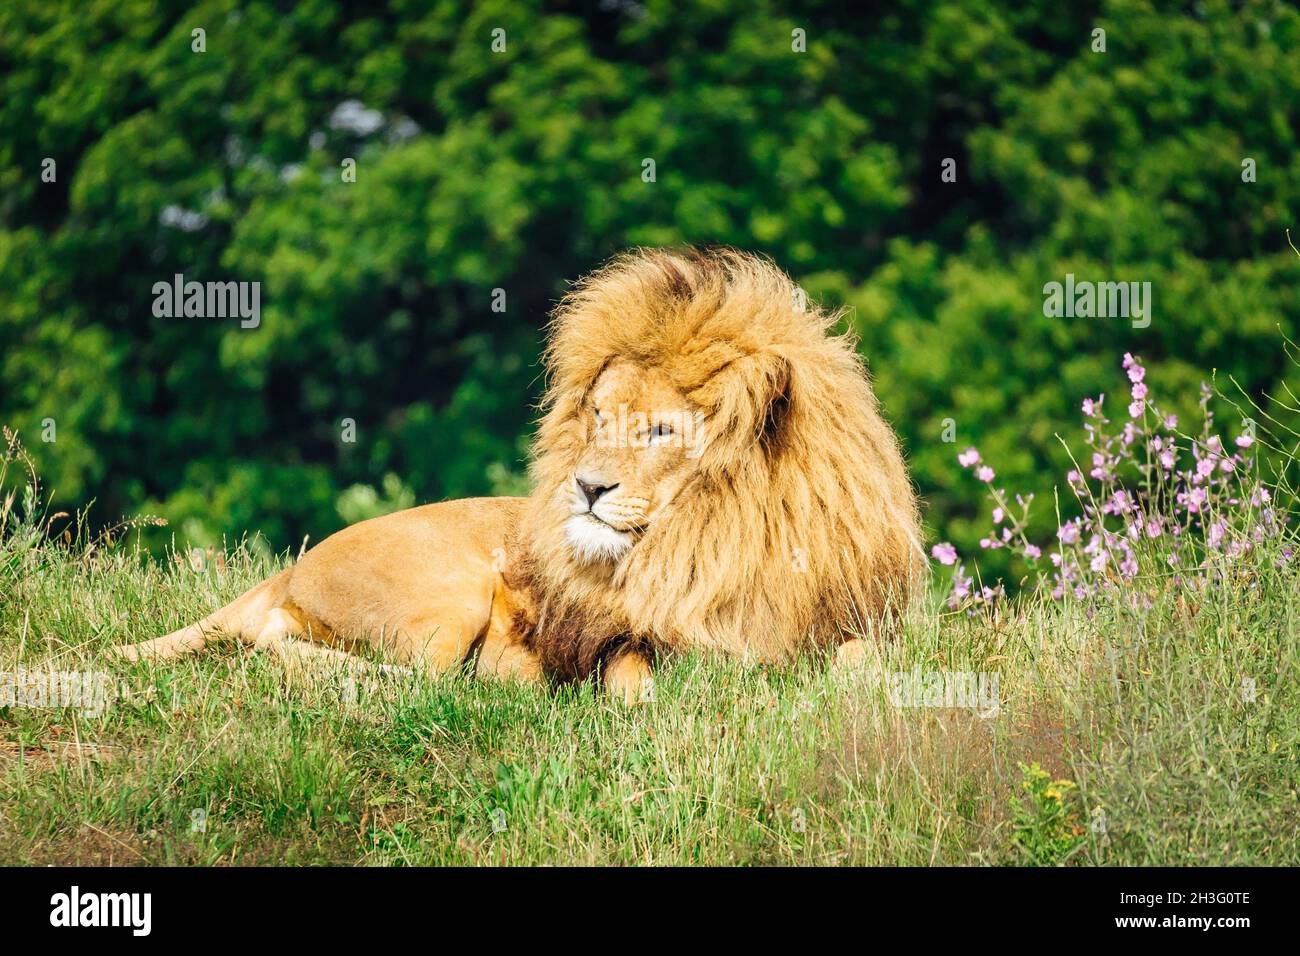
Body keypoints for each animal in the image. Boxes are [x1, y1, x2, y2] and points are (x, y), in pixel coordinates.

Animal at [116, 248, 923, 702]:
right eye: (597, 415)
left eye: (661, 430)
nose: (588, 488)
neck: (708, 540)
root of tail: (287, 570)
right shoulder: (615, 641)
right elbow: (639, 688)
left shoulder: (844, 624)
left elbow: (861, 666)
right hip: (453, 591)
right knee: (321, 660)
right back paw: (486, 689)